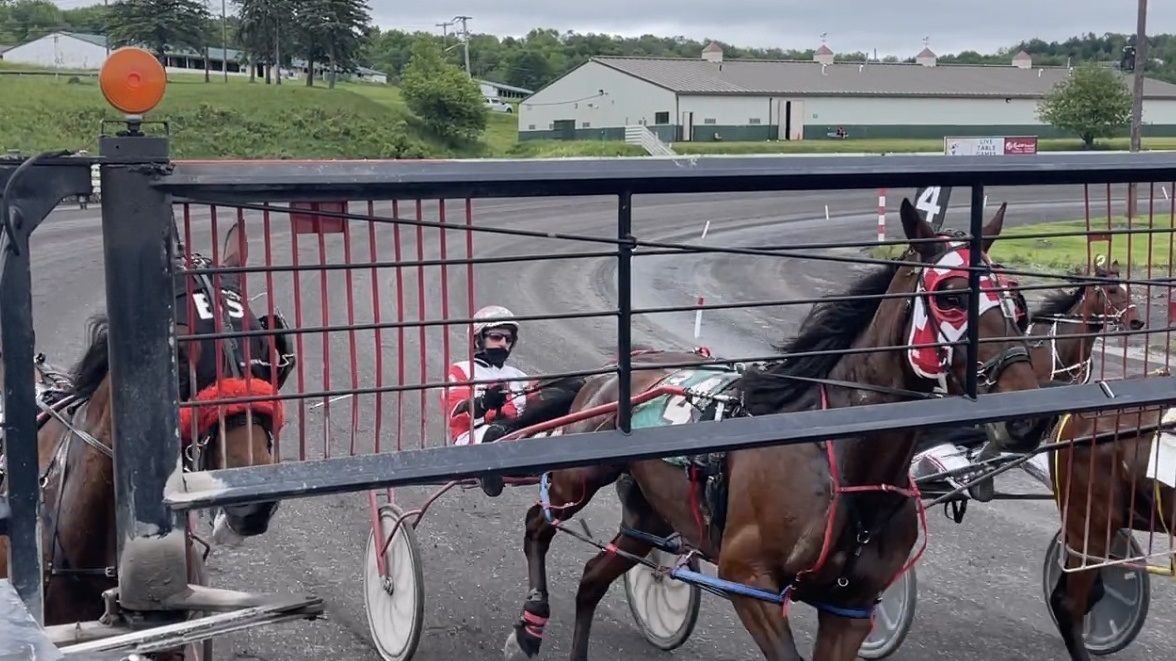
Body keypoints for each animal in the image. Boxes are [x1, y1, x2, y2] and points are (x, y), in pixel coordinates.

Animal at [503, 197, 1048, 653]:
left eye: (1018, 302)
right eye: (950, 298)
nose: (1028, 416)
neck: (840, 462)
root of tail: (626, 362)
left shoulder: (850, 609)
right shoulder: (749, 580)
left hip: (650, 515)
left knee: (593, 578)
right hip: (579, 476)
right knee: (538, 521)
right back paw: (529, 624)